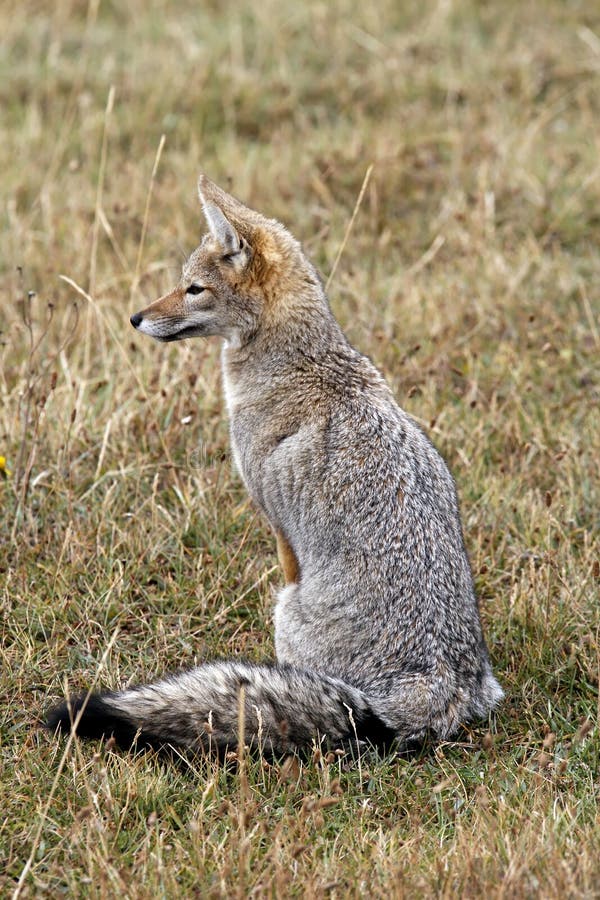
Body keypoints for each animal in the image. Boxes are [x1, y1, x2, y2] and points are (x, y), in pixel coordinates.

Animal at [46, 175, 503, 758]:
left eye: (193, 289)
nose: (134, 318)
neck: (301, 364)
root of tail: (438, 687)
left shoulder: (279, 529)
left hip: (284, 609)